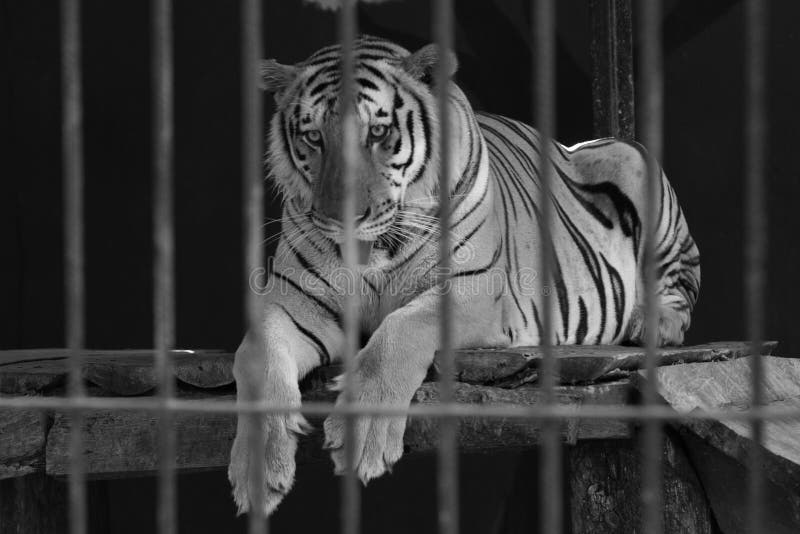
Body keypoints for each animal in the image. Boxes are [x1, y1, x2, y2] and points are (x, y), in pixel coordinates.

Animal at [228, 36, 701, 515]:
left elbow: (398, 332)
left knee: (684, 282)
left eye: (377, 133)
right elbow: (257, 358)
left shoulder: (472, 290)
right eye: (313, 137)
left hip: (634, 167)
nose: (340, 217)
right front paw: (258, 468)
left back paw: (651, 323)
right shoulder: (294, 303)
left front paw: (362, 436)